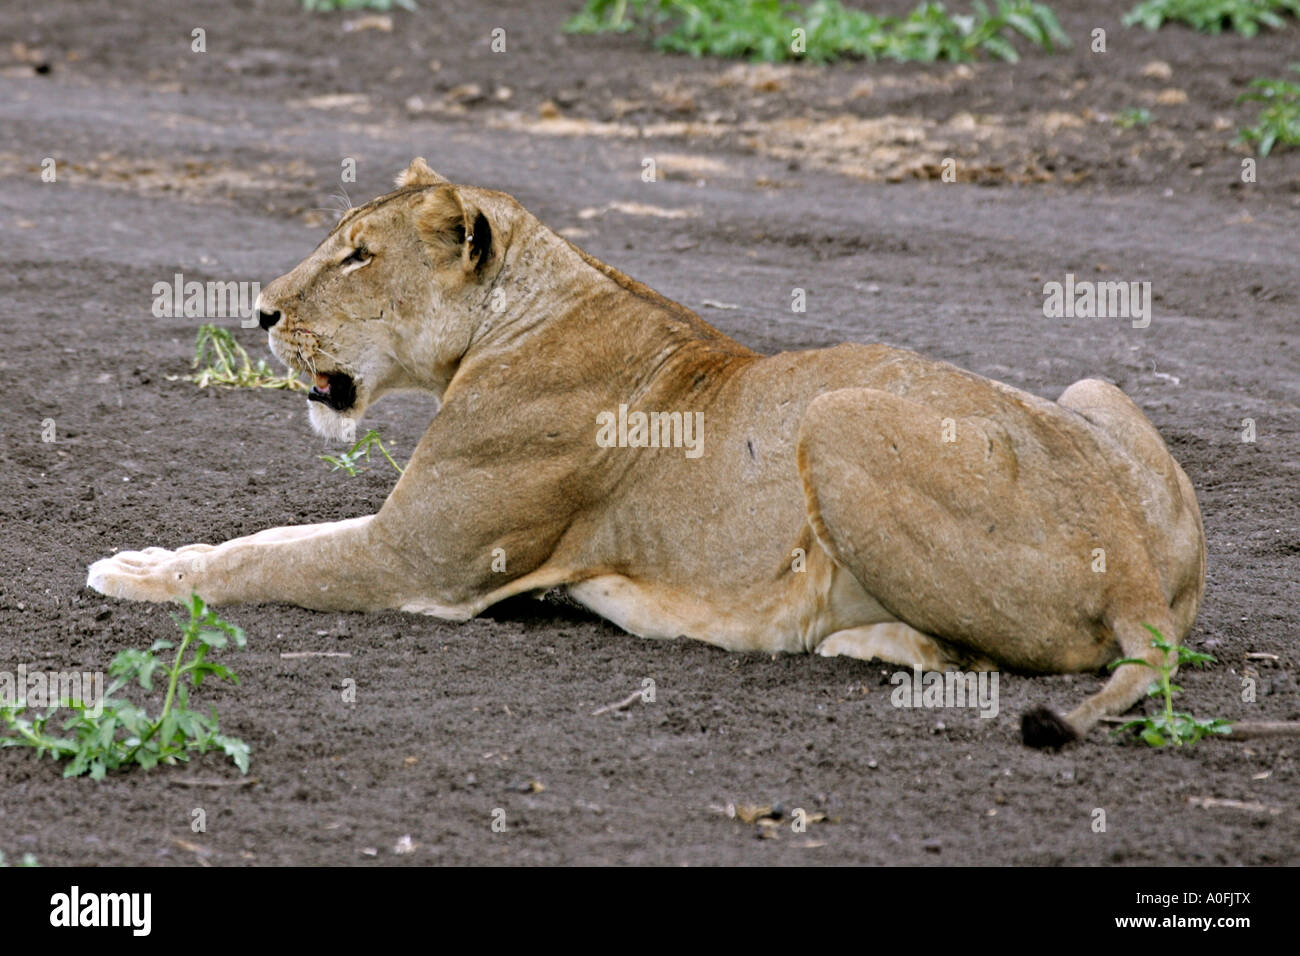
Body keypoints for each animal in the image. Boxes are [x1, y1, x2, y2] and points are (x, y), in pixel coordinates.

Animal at [88, 158, 1206, 747]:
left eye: (360, 255)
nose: (261, 311)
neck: (517, 314)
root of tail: (1132, 567)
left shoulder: (419, 562)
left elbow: (261, 558)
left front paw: (131, 572)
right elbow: (269, 536)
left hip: (836, 413)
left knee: (1000, 654)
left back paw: (854, 640)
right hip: (1090, 390)